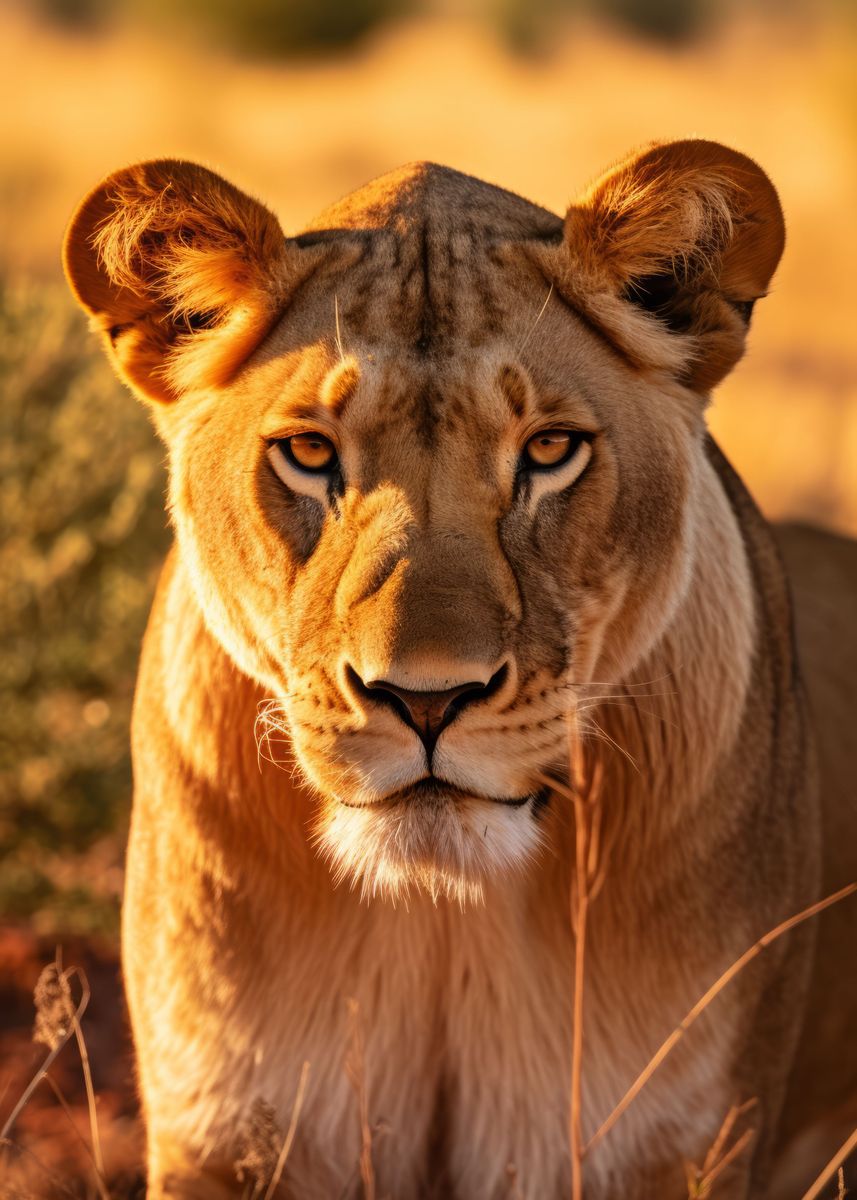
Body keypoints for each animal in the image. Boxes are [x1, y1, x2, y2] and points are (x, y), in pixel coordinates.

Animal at [62, 140, 857, 1198]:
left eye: (550, 449)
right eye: (308, 451)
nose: (425, 699)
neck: (441, 915)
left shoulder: (681, 1142)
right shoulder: (222, 1131)